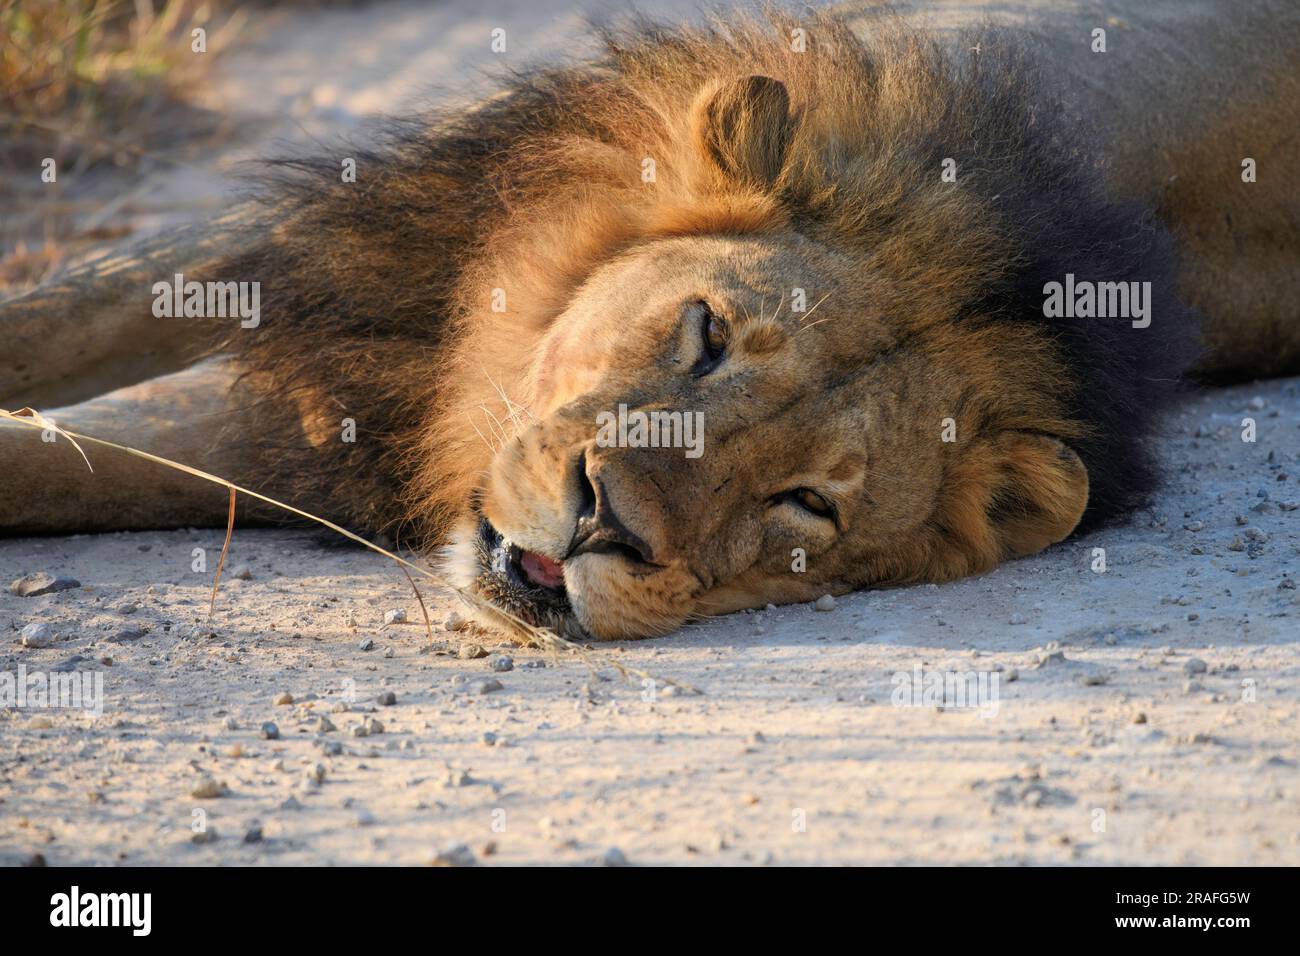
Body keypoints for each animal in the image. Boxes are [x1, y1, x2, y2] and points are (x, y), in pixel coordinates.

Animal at [2, 2, 1298, 639]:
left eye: (807, 504)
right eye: (705, 336)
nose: (596, 524)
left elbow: (85, 464)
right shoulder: (365, 246)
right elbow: (70, 316)